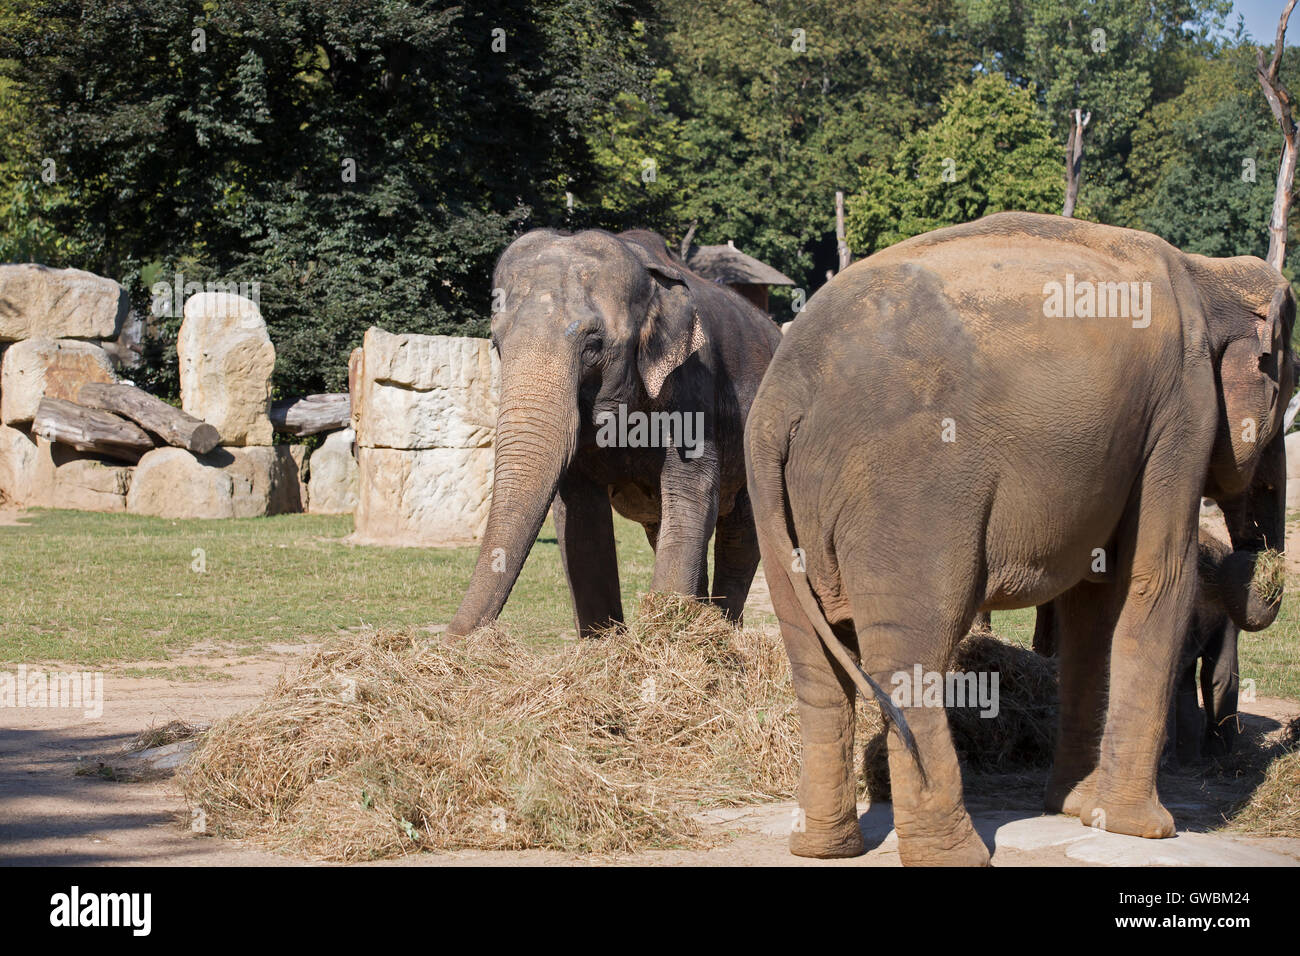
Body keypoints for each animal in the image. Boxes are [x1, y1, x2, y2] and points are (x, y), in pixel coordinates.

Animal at [449, 227, 783, 639]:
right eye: (496, 344)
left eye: (593, 346)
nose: (450, 642)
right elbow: (581, 518)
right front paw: (606, 643)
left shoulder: (692, 381)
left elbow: (692, 489)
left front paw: (662, 640)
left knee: (740, 535)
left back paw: (723, 631)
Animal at [745, 211, 1291, 866]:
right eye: (1289, 390)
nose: (1254, 556)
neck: (1207, 270)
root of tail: (783, 394)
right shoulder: (1182, 412)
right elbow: (1156, 581)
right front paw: (1143, 829)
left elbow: (1093, 605)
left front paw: (1077, 809)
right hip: (908, 494)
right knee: (911, 654)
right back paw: (957, 855)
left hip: (779, 510)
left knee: (816, 666)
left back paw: (823, 847)